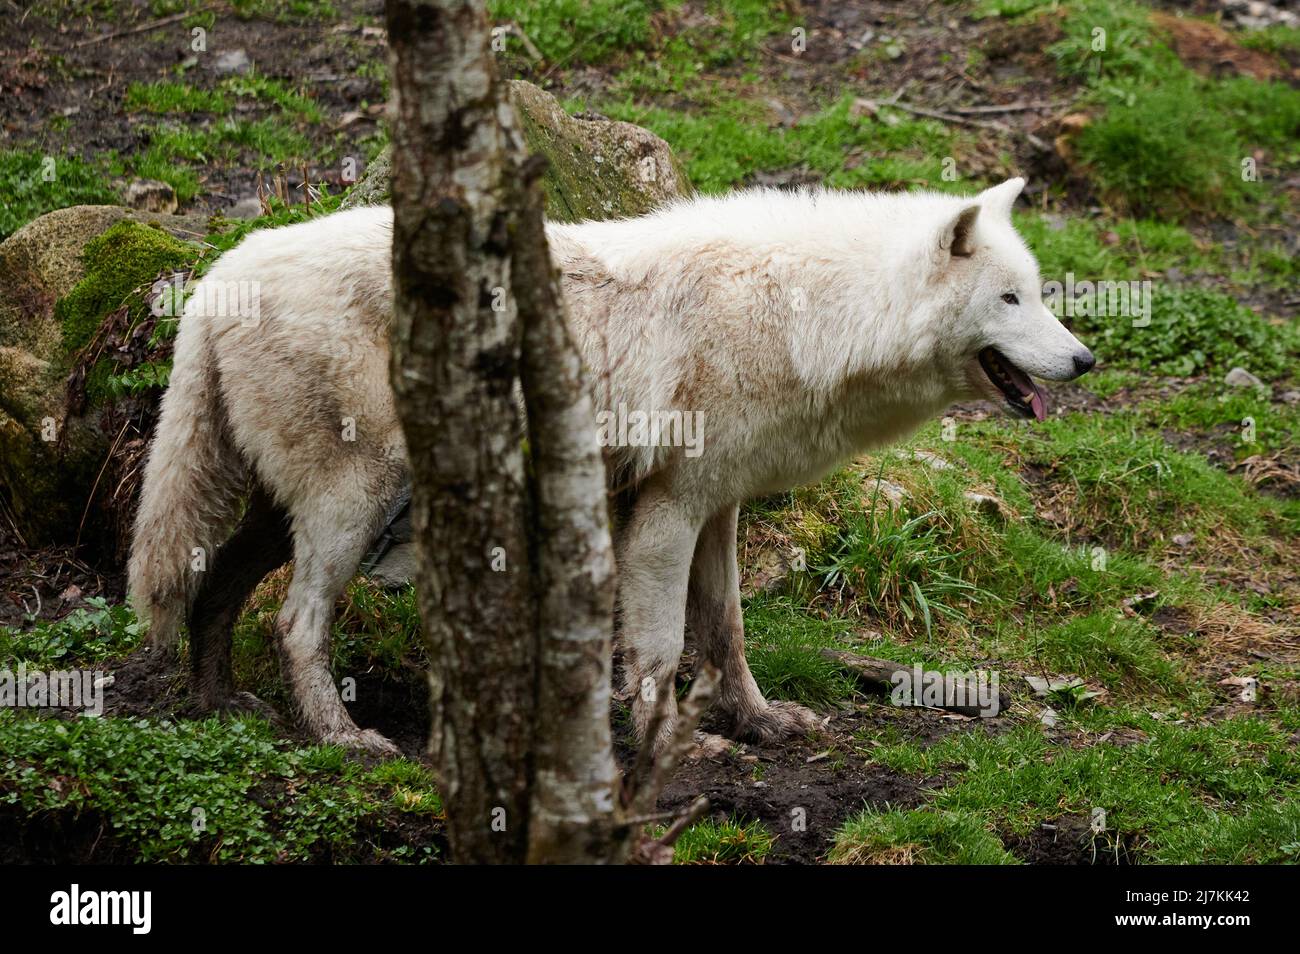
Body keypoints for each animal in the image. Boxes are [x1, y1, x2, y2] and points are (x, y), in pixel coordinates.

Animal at [128, 176, 1093, 755]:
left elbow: (727, 629)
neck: (810, 311)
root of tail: (221, 273)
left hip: (297, 511)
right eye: (1009, 299)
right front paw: (676, 746)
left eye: (1039, 294)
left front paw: (759, 721)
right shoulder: (666, 511)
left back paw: (219, 705)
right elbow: (662, 648)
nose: (1084, 361)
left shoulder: (717, 506)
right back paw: (342, 739)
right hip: (355, 503)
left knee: (216, 587)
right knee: (296, 624)